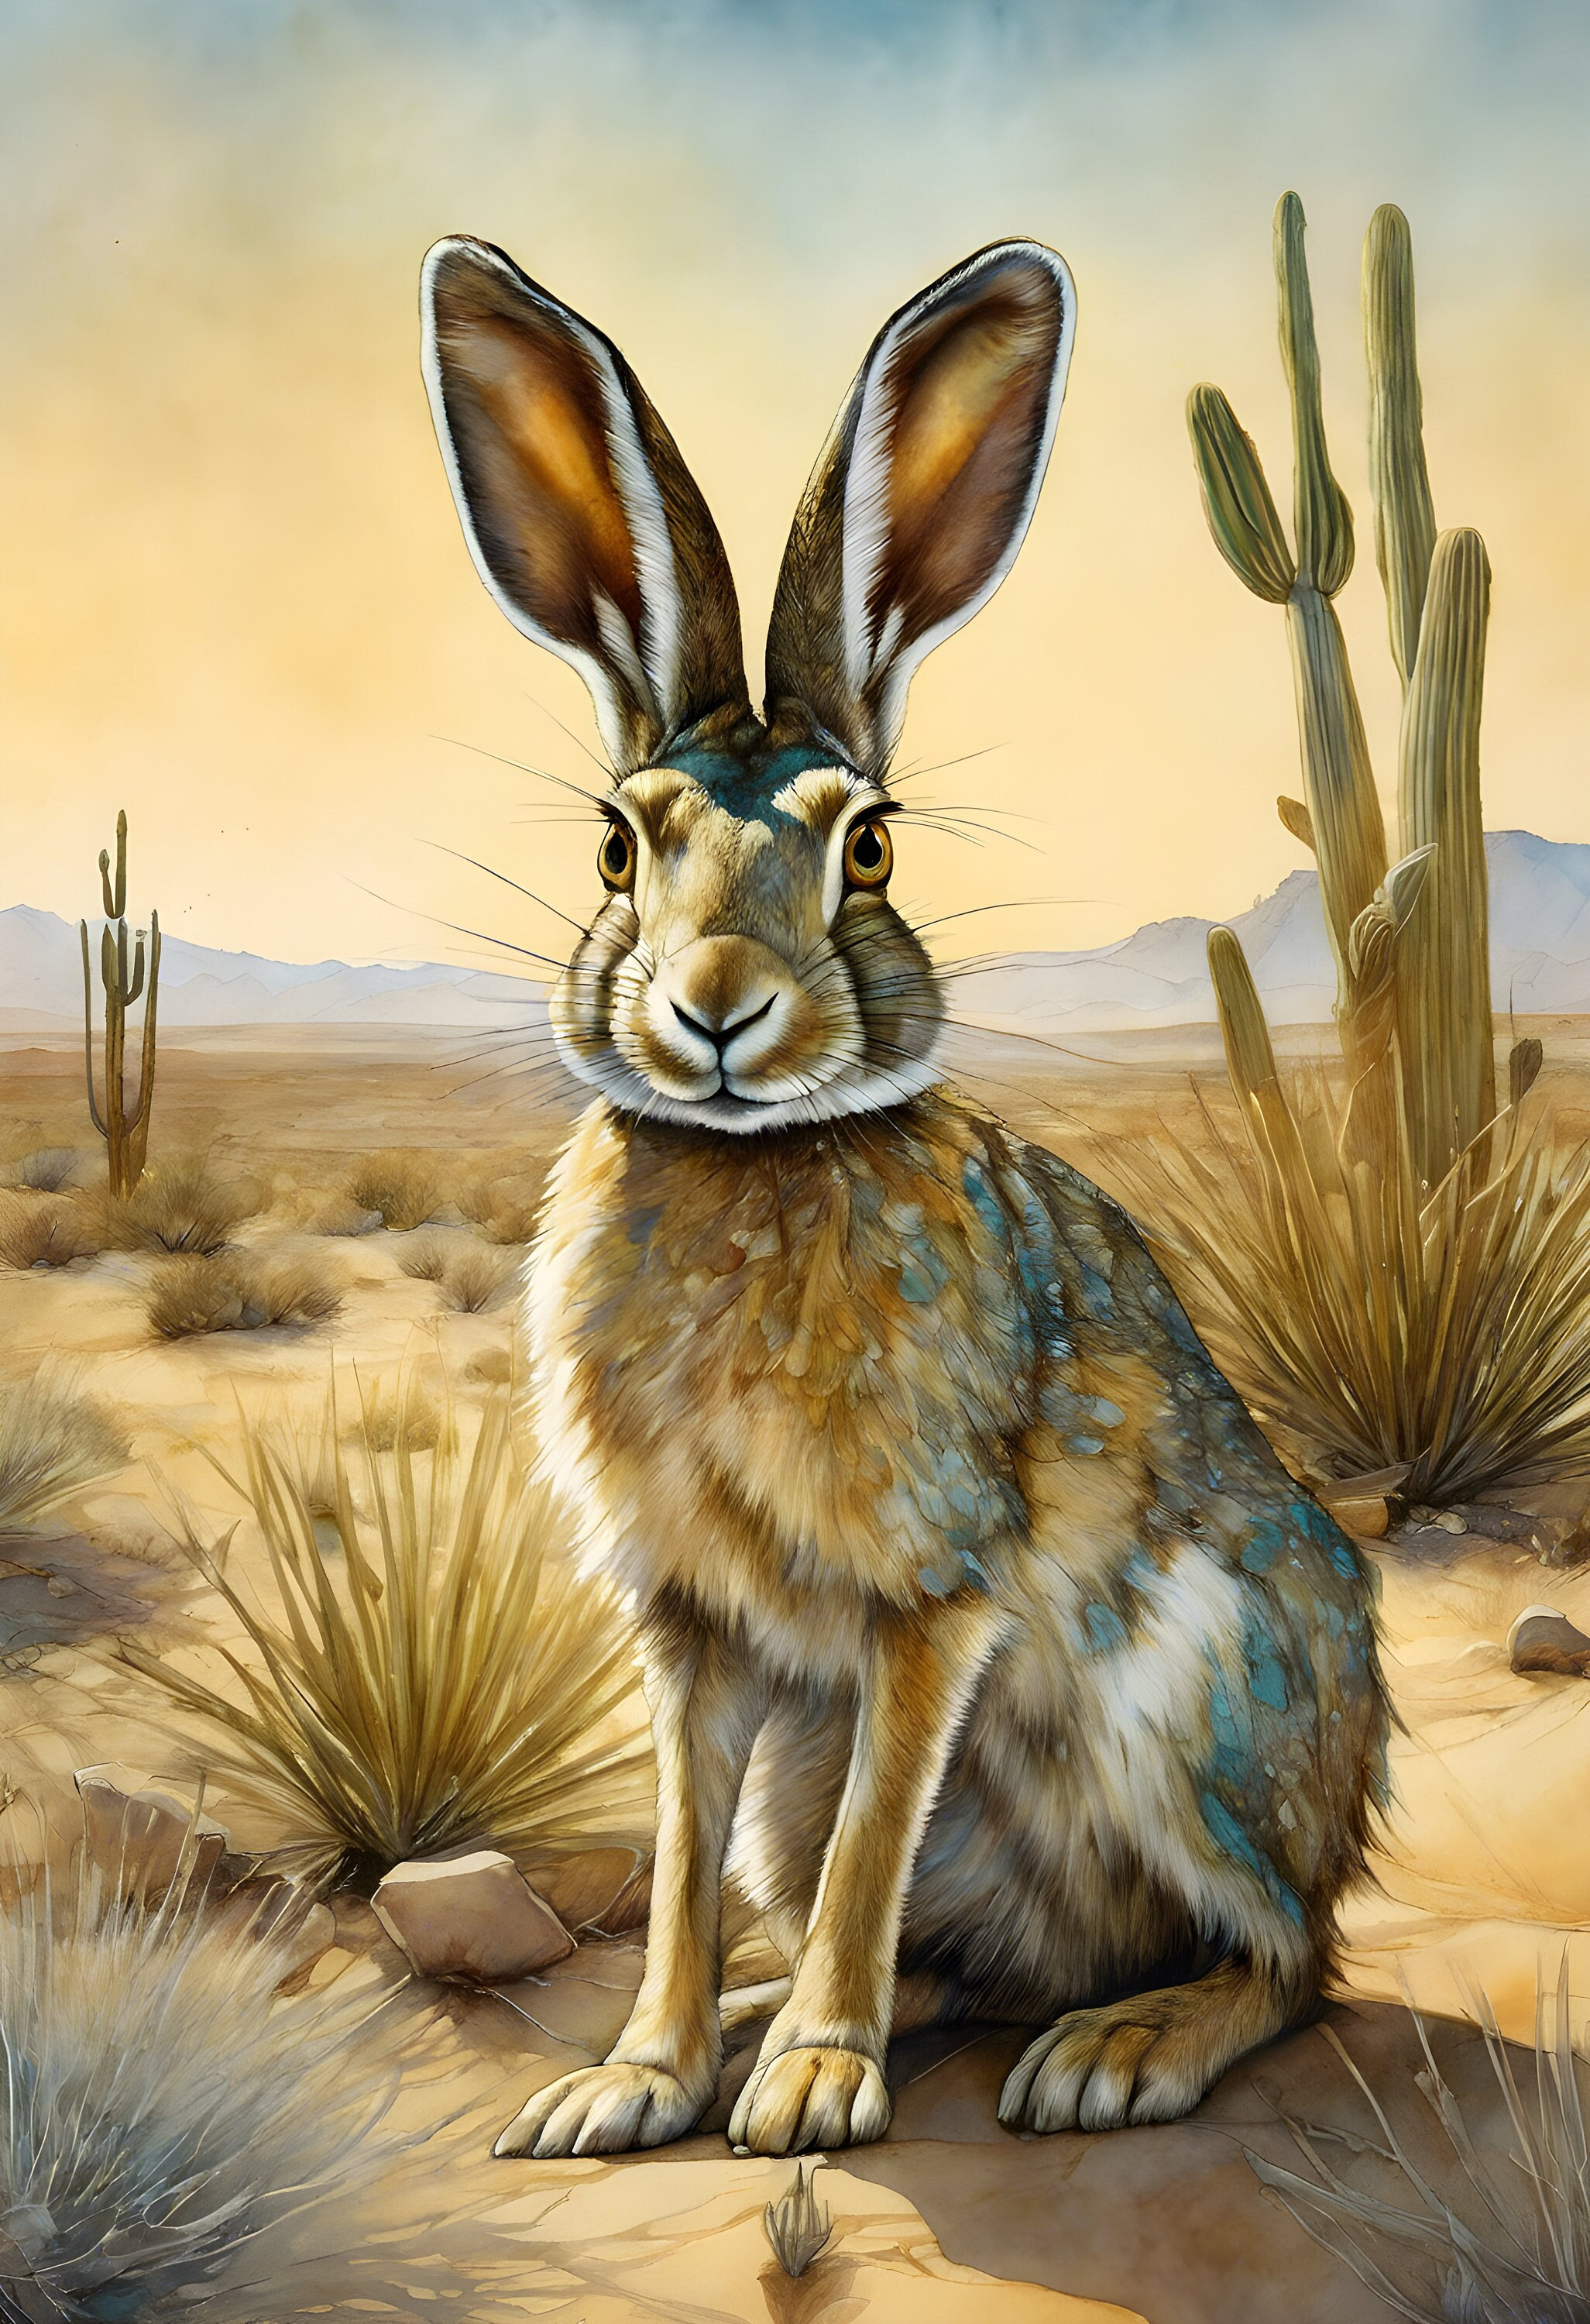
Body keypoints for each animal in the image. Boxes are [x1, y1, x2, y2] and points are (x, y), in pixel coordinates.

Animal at [420, 231, 1391, 2162]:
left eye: (866, 845)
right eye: (616, 844)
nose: (718, 1005)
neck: (747, 1161)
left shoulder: (932, 1599)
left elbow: (878, 1836)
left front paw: (807, 2085)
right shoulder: (690, 1623)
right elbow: (676, 1857)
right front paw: (636, 2081)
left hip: (1189, 1705)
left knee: (1285, 1958)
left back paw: (1113, 2055)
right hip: (832, 1784)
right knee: (954, 1953)